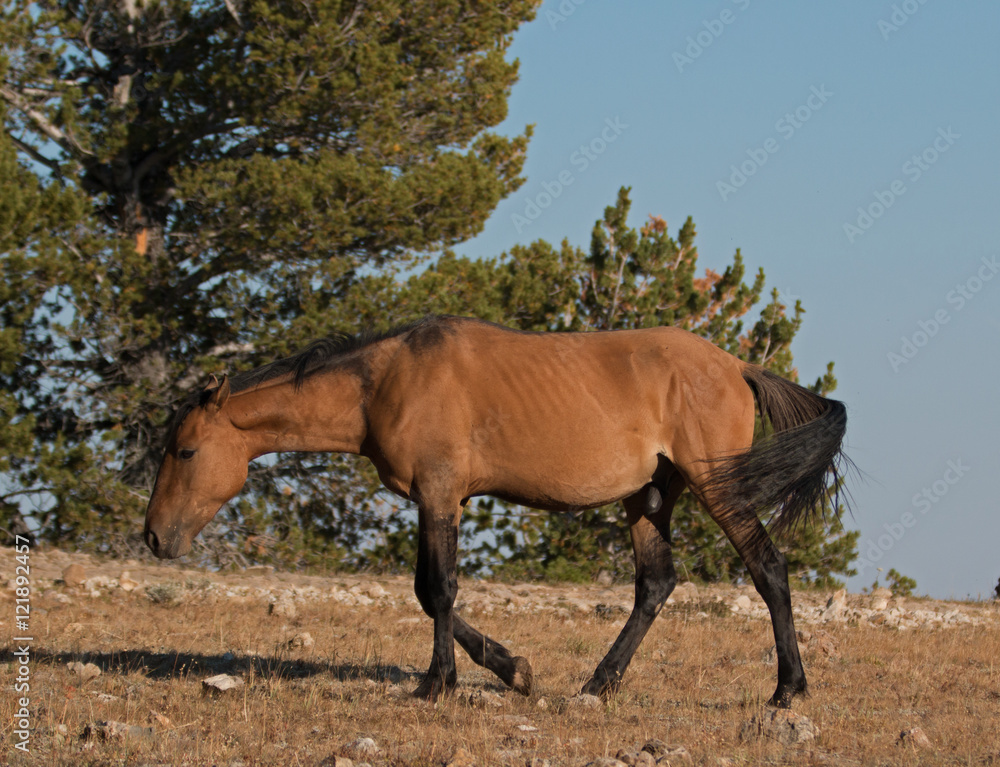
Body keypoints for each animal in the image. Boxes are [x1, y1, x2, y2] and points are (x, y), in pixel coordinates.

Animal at [144, 315, 849, 707]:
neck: (386, 383)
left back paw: (787, 690)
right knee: (656, 585)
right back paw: (599, 685)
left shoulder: (438, 495)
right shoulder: (436, 499)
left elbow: (439, 589)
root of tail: (737, 365)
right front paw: (514, 671)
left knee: (768, 569)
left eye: (185, 450)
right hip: (650, 498)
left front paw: (440, 683)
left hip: (716, 489)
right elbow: (428, 593)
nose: (154, 539)